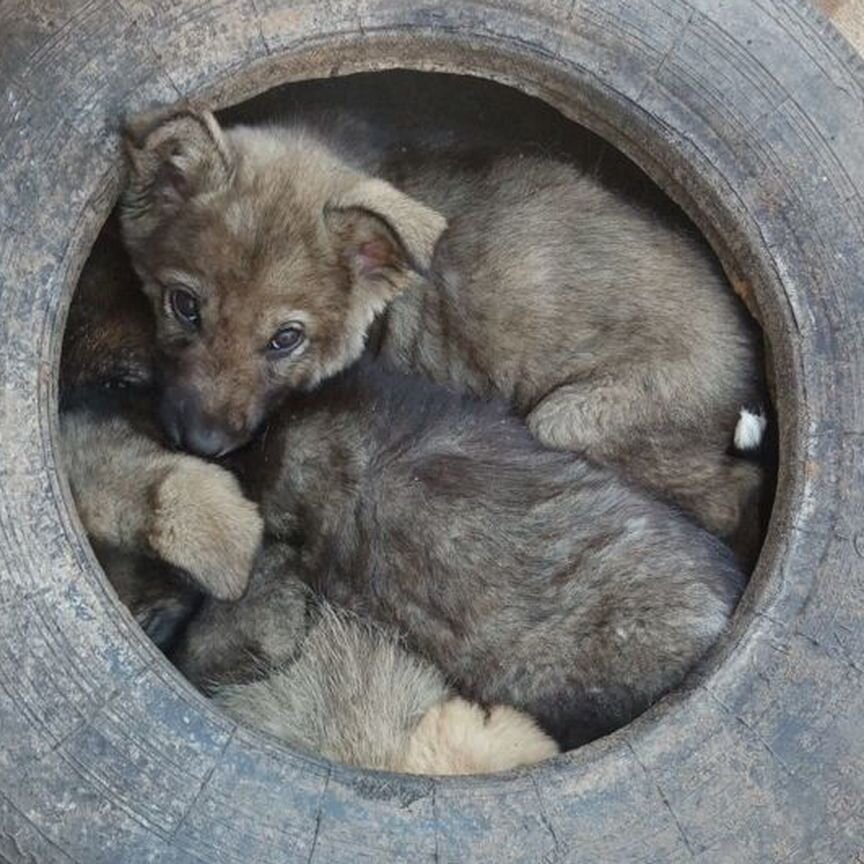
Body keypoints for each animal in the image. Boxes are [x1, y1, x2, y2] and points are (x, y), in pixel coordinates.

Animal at [120, 106, 764, 560]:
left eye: (285, 339)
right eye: (184, 306)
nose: (198, 443)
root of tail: (747, 363)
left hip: (572, 419)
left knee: (731, 492)